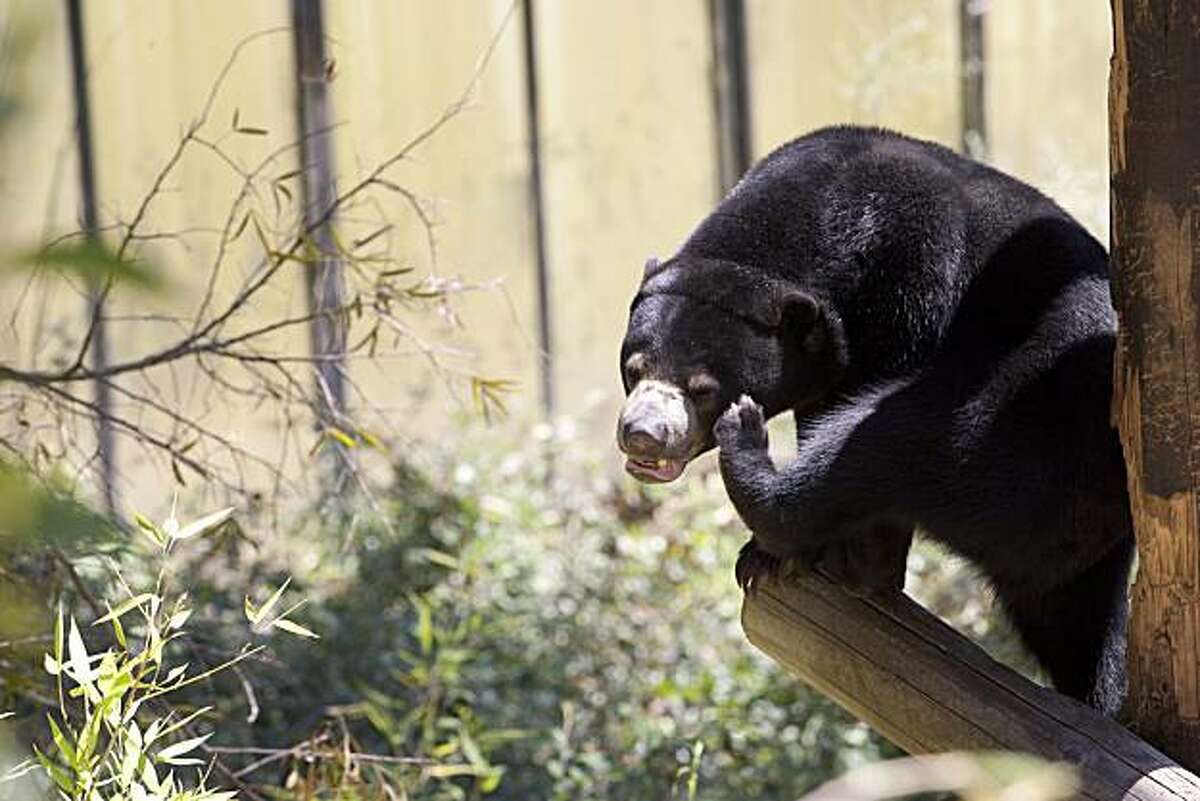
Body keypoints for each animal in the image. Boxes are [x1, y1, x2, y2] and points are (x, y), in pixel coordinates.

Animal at [616, 125, 1134, 716]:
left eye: (703, 389)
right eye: (634, 368)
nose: (644, 436)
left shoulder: (910, 287)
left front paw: (790, 554)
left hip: (1026, 421)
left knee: (883, 449)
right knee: (1076, 621)